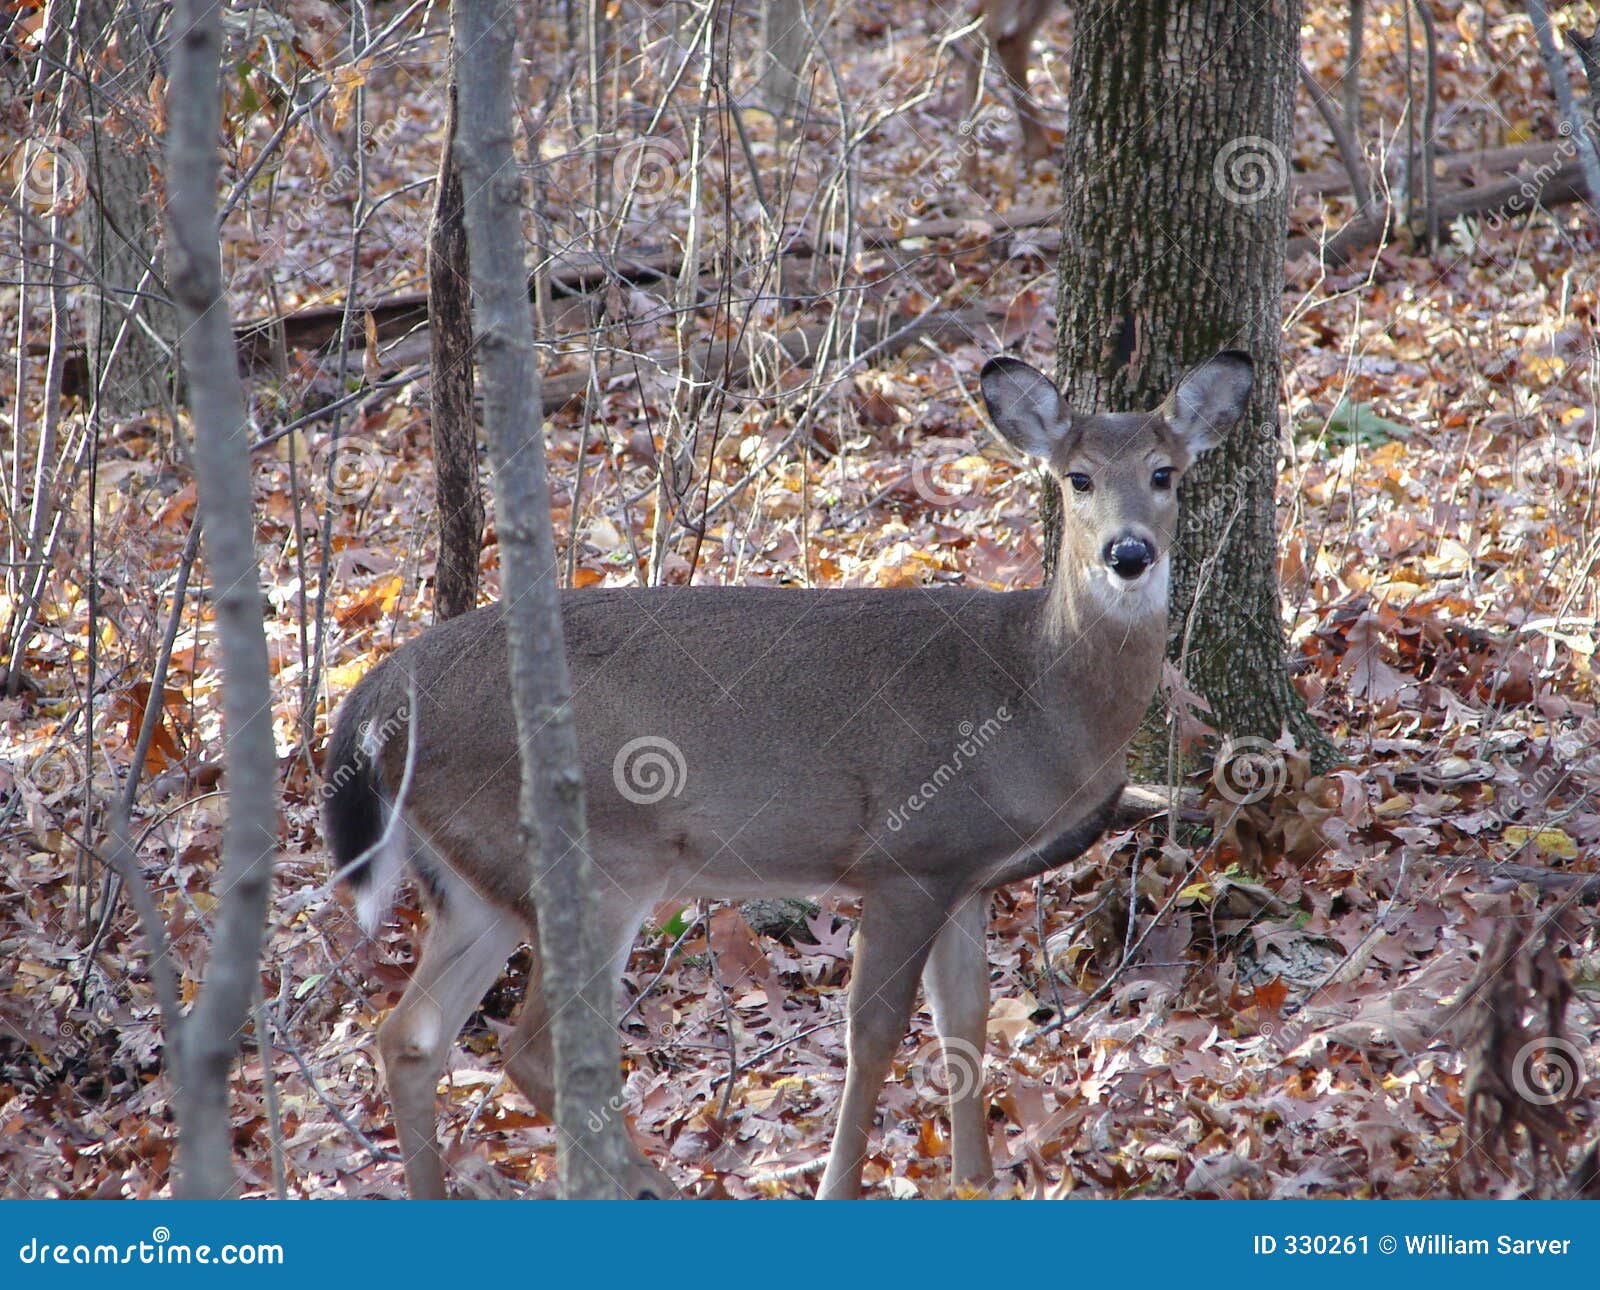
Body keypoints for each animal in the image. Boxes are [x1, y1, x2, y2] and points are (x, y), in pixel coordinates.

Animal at [322, 350, 1253, 1199]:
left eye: (1165, 473)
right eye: (1078, 478)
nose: (1128, 553)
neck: (1033, 686)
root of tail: (379, 694)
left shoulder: (967, 874)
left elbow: (967, 1026)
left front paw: (975, 1182)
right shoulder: (907, 857)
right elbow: (873, 1036)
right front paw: (841, 1186)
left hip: (474, 881)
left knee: (411, 1036)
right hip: (595, 861)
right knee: (531, 1047)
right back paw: (656, 1189)